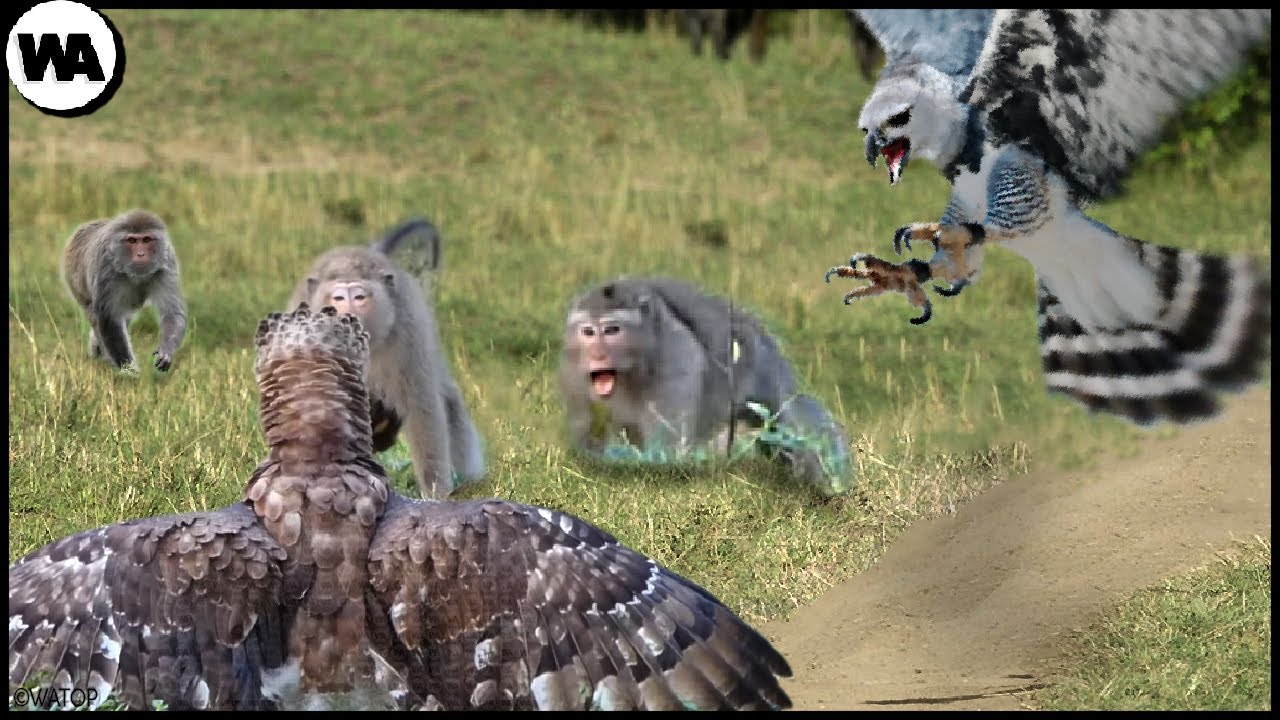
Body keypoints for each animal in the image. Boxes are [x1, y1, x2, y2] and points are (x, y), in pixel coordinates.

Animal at [61, 209, 188, 372]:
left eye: (146, 239)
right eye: (132, 241)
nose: (140, 254)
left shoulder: (165, 266)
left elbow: (172, 312)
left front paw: (166, 351)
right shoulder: (106, 267)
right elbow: (109, 318)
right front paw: (128, 370)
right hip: (73, 275)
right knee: (94, 314)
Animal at [288, 217, 485, 500]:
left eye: (360, 298)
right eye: (338, 298)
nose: (349, 312)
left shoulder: (407, 336)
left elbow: (422, 406)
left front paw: (435, 492)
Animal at [558, 276, 851, 490]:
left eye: (612, 330)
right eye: (588, 332)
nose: (597, 354)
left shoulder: (676, 359)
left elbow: (665, 453)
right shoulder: (573, 373)